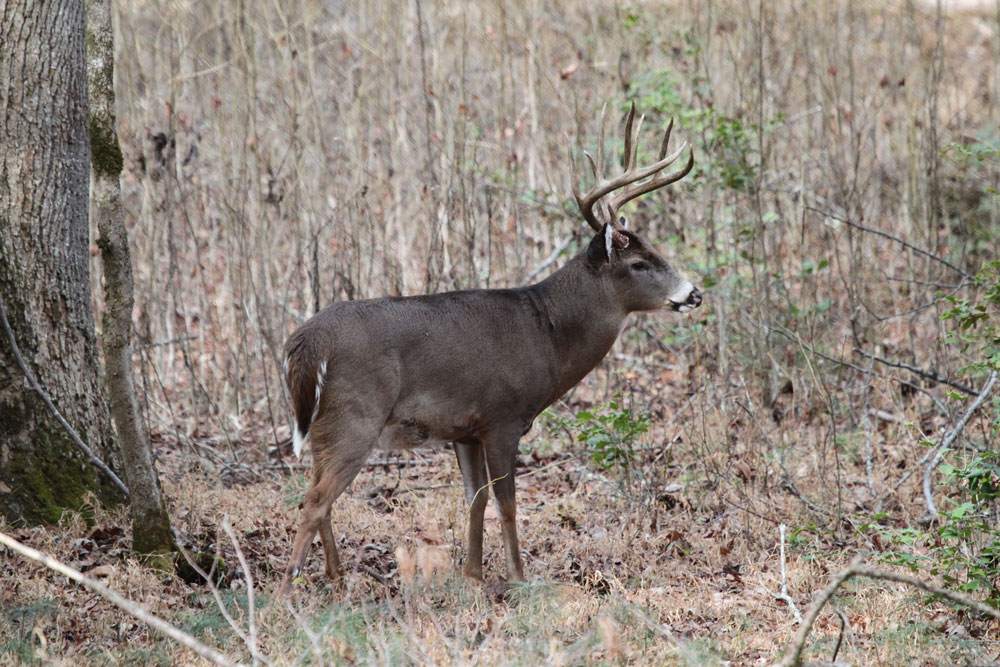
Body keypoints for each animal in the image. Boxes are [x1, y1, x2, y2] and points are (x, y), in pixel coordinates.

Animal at [278, 103, 701, 596]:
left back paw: (337, 576)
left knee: (316, 492)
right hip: (356, 415)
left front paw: (474, 574)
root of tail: (305, 343)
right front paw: (519, 578)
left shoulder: (465, 429)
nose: (694, 294)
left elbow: (475, 499)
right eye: (638, 263)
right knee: (314, 499)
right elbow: (507, 503)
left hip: (324, 425)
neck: (548, 333)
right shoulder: (504, 417)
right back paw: (286, 593)